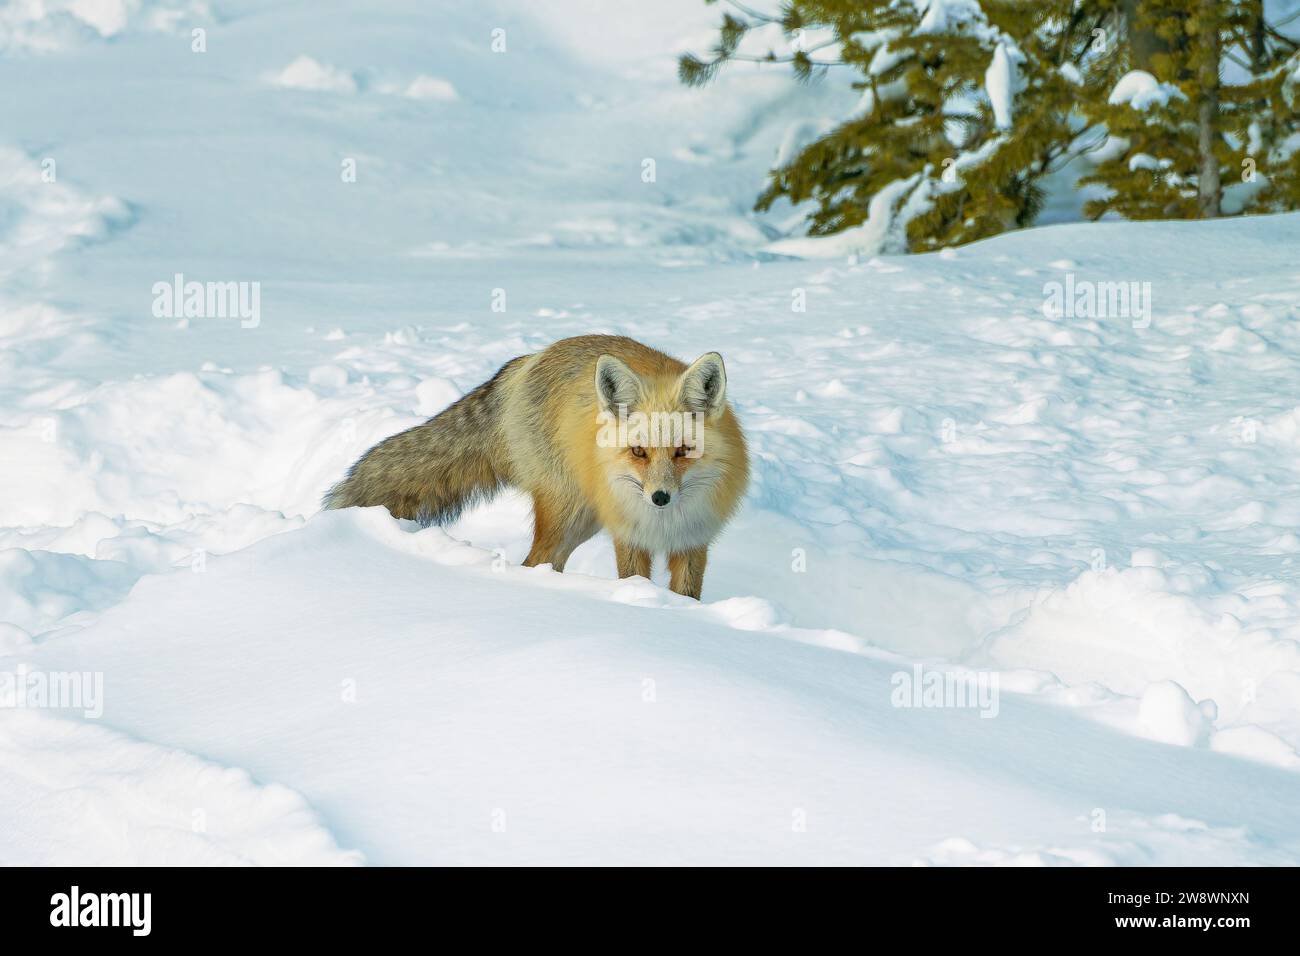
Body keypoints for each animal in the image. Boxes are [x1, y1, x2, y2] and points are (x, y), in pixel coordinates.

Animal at [323, 334, 749, 599]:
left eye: (684, 451)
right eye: (639, 452)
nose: (660, 497)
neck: (663, 523)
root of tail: (528, 359)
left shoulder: (693, 542)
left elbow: (688, 594)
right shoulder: (627, 535)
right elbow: (633, 579)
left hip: (582, 522)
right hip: (566, 514)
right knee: (534, 562)